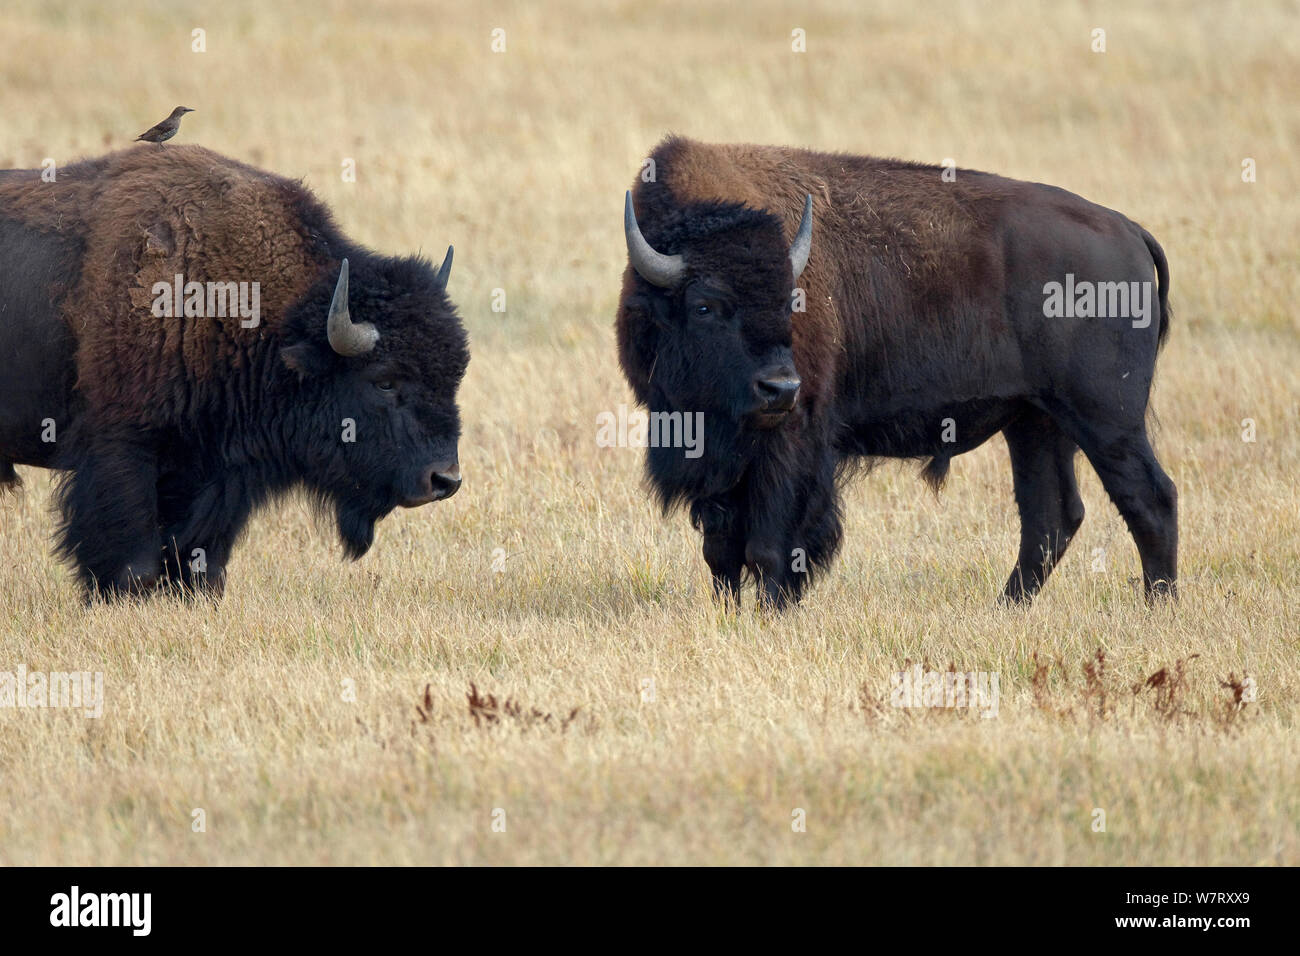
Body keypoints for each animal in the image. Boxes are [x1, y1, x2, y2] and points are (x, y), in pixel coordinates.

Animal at [0, 145, 468, 599]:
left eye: (453, 377)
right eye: (385, 381)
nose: (444, 479)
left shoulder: (219, 472)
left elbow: (202, 554)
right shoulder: (122, 446)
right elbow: (133, 558)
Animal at [617, 136, 1176, 608]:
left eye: (789, 301)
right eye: (705, 306)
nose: (780, 388)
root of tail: (1130, 231)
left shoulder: (792, 444)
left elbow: (770, 546)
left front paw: (773, 613)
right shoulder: (713, 455)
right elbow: (722, 551)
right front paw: (730, 613)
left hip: (1106, 420)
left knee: (1150, 498)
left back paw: (1158, 608)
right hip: (1036, 422)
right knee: (1051, 516)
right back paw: (1006, 609)